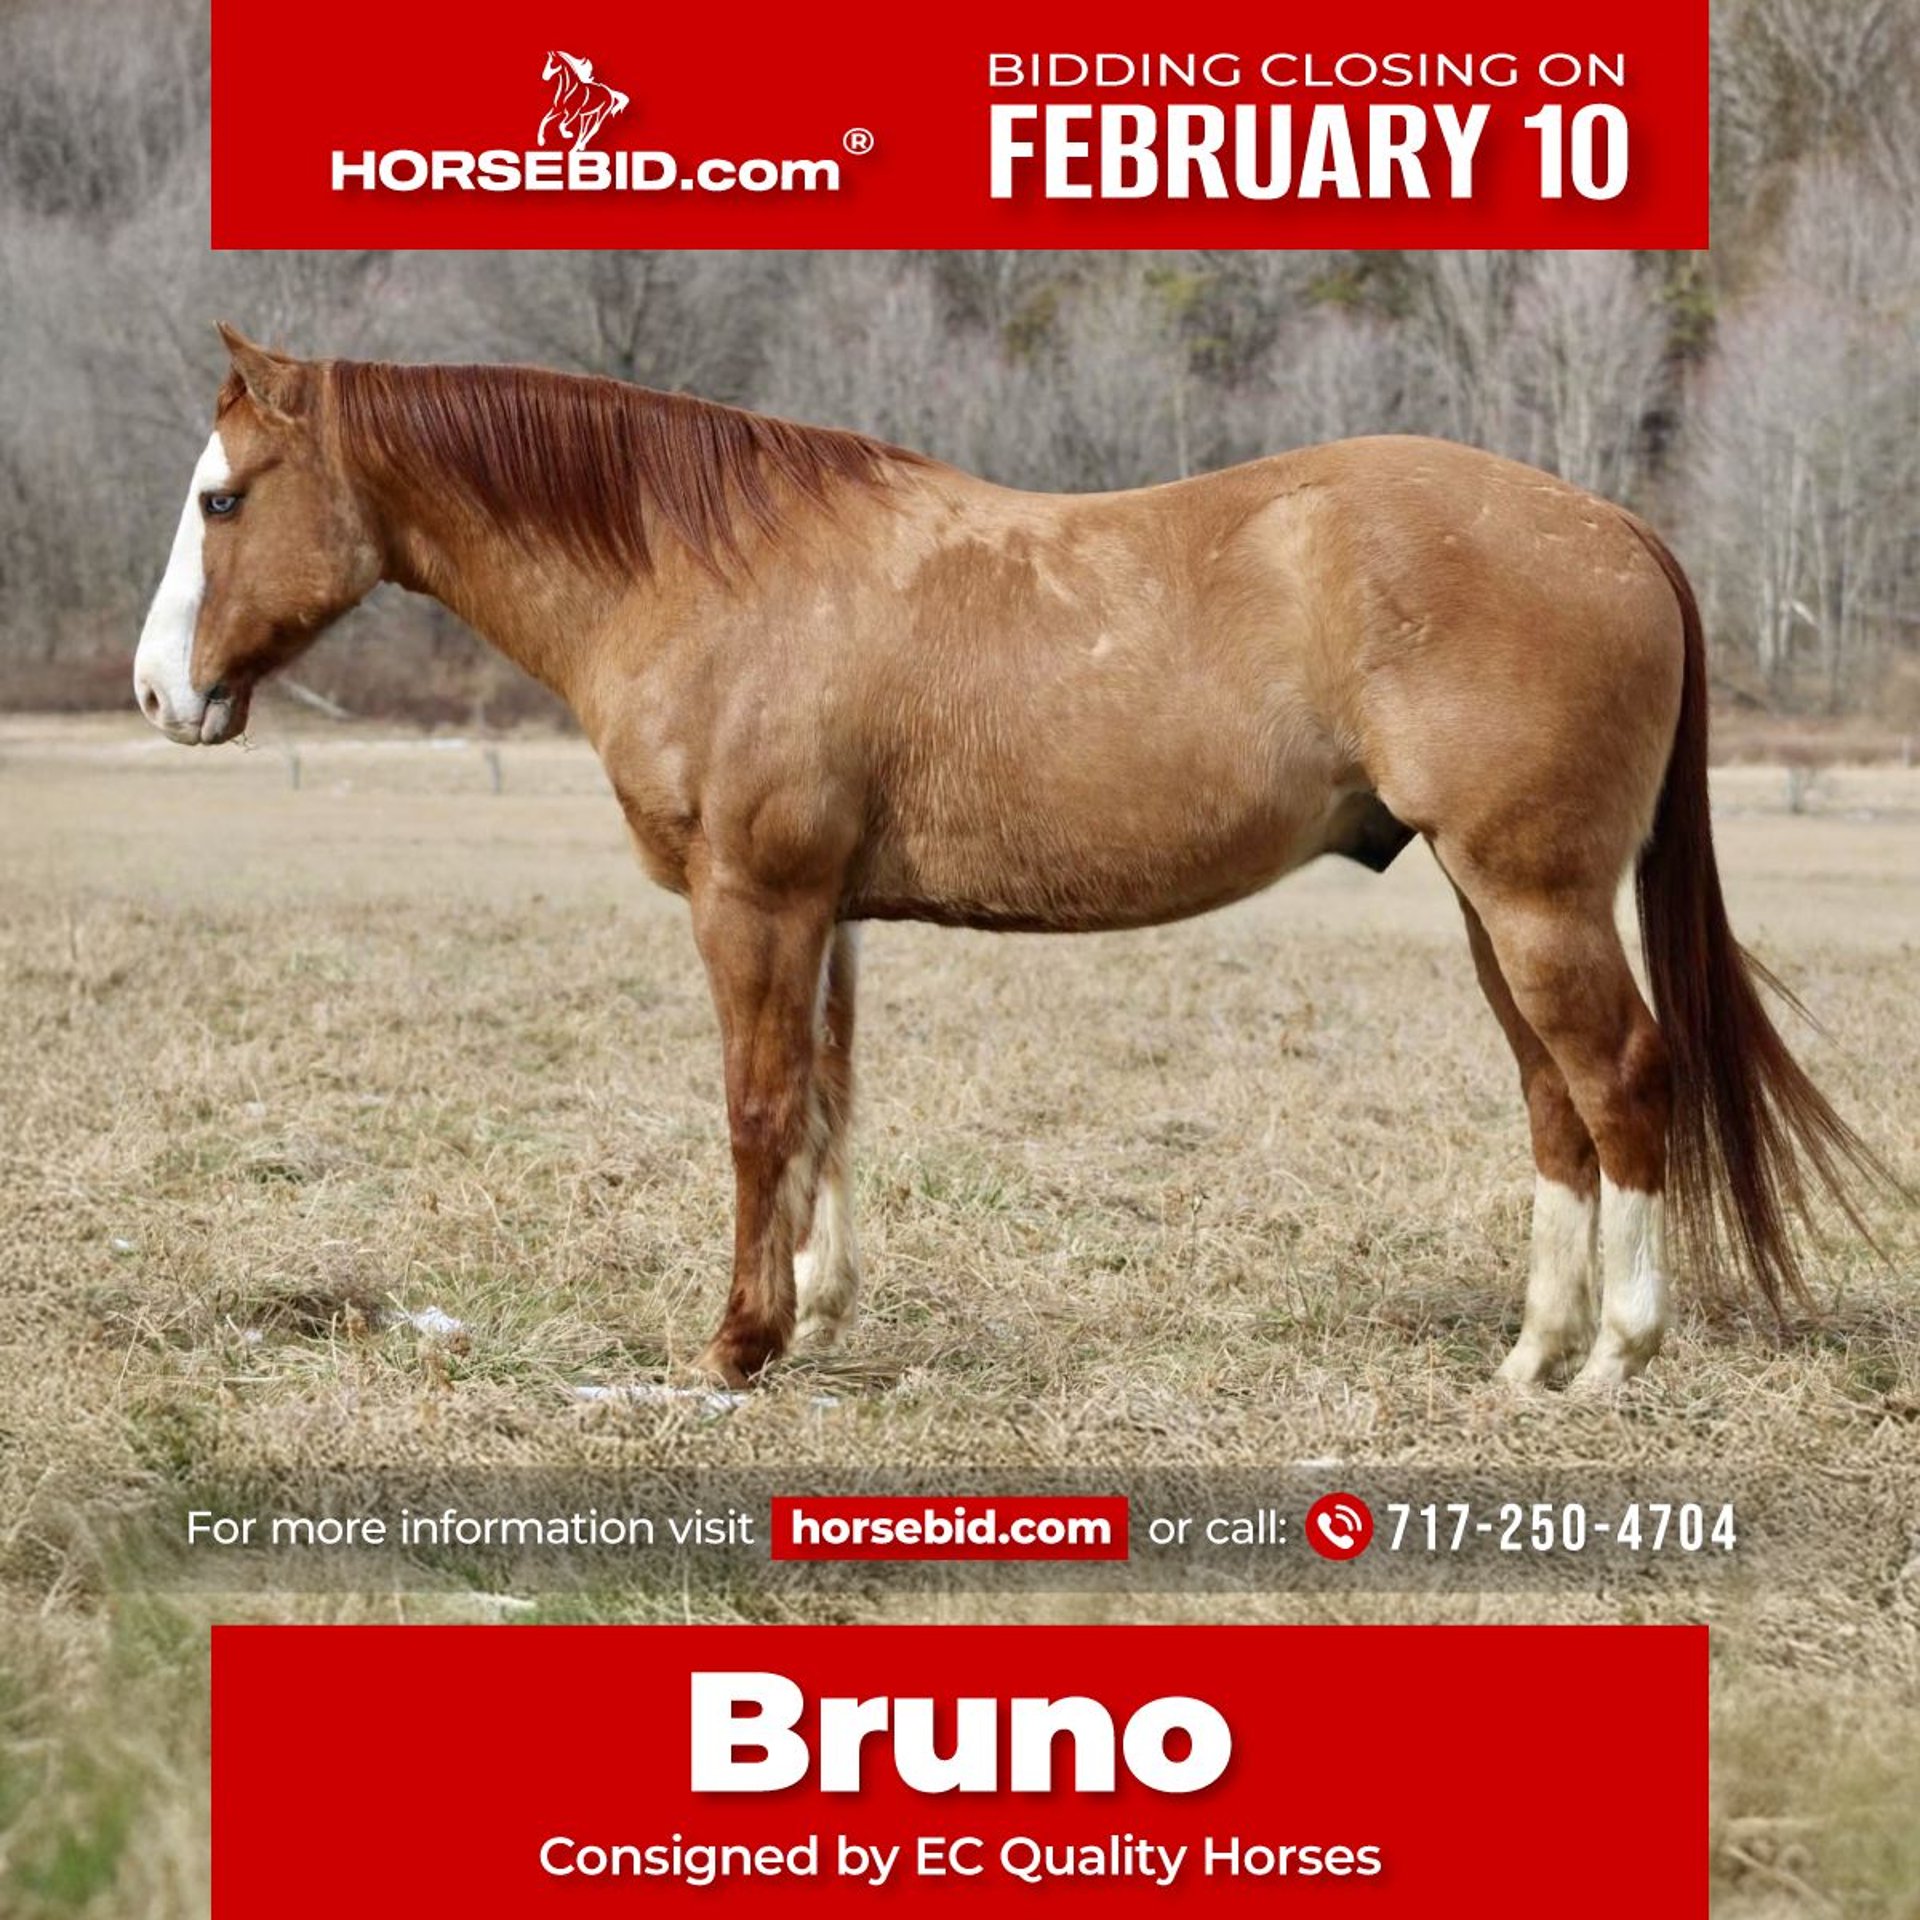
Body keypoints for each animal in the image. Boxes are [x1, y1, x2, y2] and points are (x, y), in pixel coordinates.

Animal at [132, 326, 1890, 1390]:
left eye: (221, 500)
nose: (160, 693)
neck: (712, 575)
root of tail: (1619, 532)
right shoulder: (824, 913)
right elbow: (828, 1103)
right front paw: (816, 1315)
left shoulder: (751, 902)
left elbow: (758, 1111)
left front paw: (735, 1349)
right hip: (1494, 903)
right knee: (1553, 1101)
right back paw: (1529, 1357)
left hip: (1534, 897)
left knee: (1623, 1082)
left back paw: (1611, 1362)